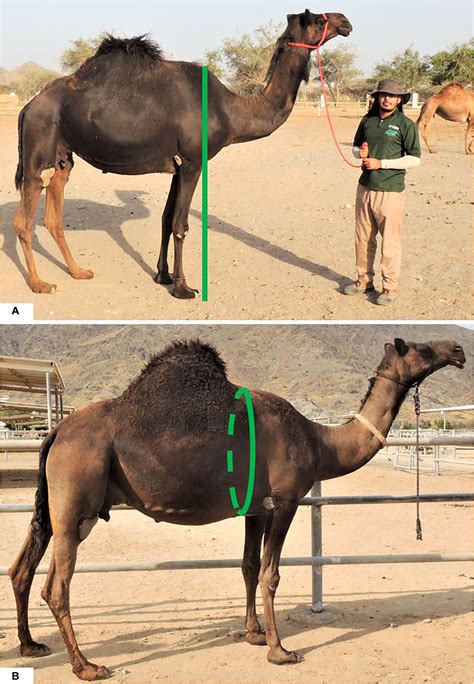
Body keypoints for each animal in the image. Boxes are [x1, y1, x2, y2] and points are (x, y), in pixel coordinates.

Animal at [9, 337, 465, 681]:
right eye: (422, 348)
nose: (459, 349)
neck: (319, 441)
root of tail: (55, 432)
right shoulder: (285, 501)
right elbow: (271, 573)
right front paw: (280, 651)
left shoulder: (255, 509)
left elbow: (248, 567)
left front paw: (255, 634)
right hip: (76, 496)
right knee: (58, 585)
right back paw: (86, 666)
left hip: (61, 509)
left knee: (23, 568)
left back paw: (31, 645)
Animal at [12, 10, 352, 297]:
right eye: (318, 19)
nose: (345, 21)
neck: (232, 110)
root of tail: (27, 107)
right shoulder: (193, 161)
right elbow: (181, 224)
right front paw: (183, 287)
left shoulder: (177, 165)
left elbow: (165, 218)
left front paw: (162, 276)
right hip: (36, 148)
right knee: (24, 220)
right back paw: (40, 284)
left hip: (63, 156)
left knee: (53, 210)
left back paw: (78, 271)